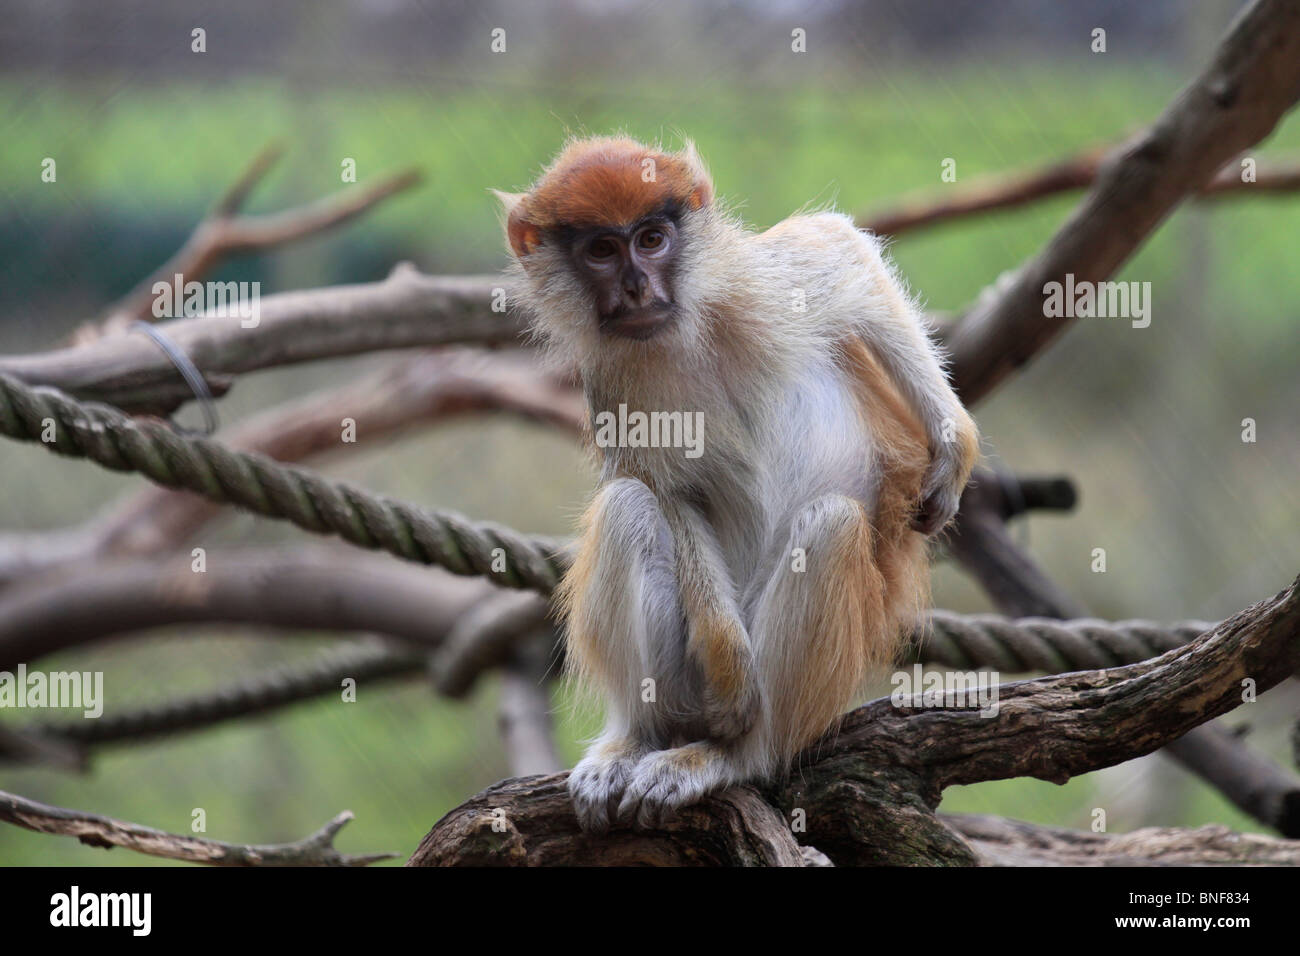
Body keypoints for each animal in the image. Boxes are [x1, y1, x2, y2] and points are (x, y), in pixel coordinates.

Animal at [496, 136, 979, 832]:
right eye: (602, 251)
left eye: (651, 239)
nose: (638, 287)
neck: (681, 332)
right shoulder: (615, 383)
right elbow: (666, 492)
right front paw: (729, 673)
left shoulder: (762, 287)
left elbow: (841, 250)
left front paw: (954, 445)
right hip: (683, 685)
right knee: (627, 506)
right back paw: (639, 738)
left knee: (832, 526)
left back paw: (736, 756)